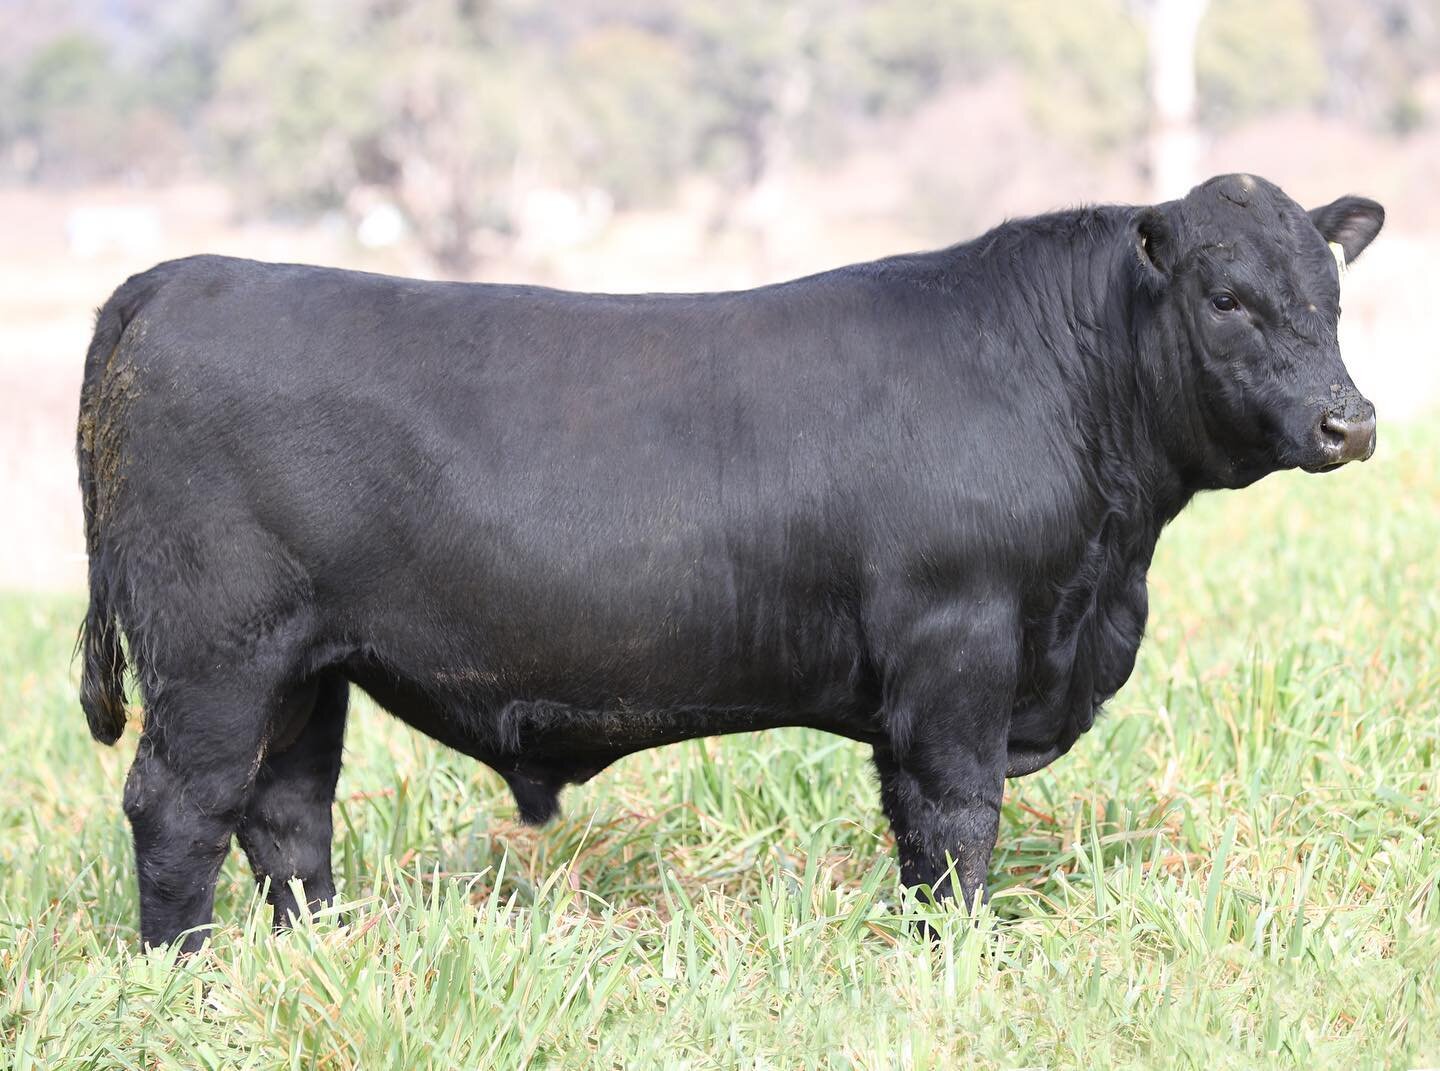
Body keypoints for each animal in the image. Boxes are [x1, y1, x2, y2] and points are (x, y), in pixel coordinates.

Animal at [76, 174, 1383, 951]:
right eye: (1227, 297)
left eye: (1330, 291)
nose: (1350, 420)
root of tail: (176, 278)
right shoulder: (959, 643)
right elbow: (960, 816)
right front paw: (966, 954)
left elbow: (913, 825)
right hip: (217, 653)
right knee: (180, 807)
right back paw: (185, 970)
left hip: (306, 670)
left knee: (287, 815)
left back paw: (318, 955)